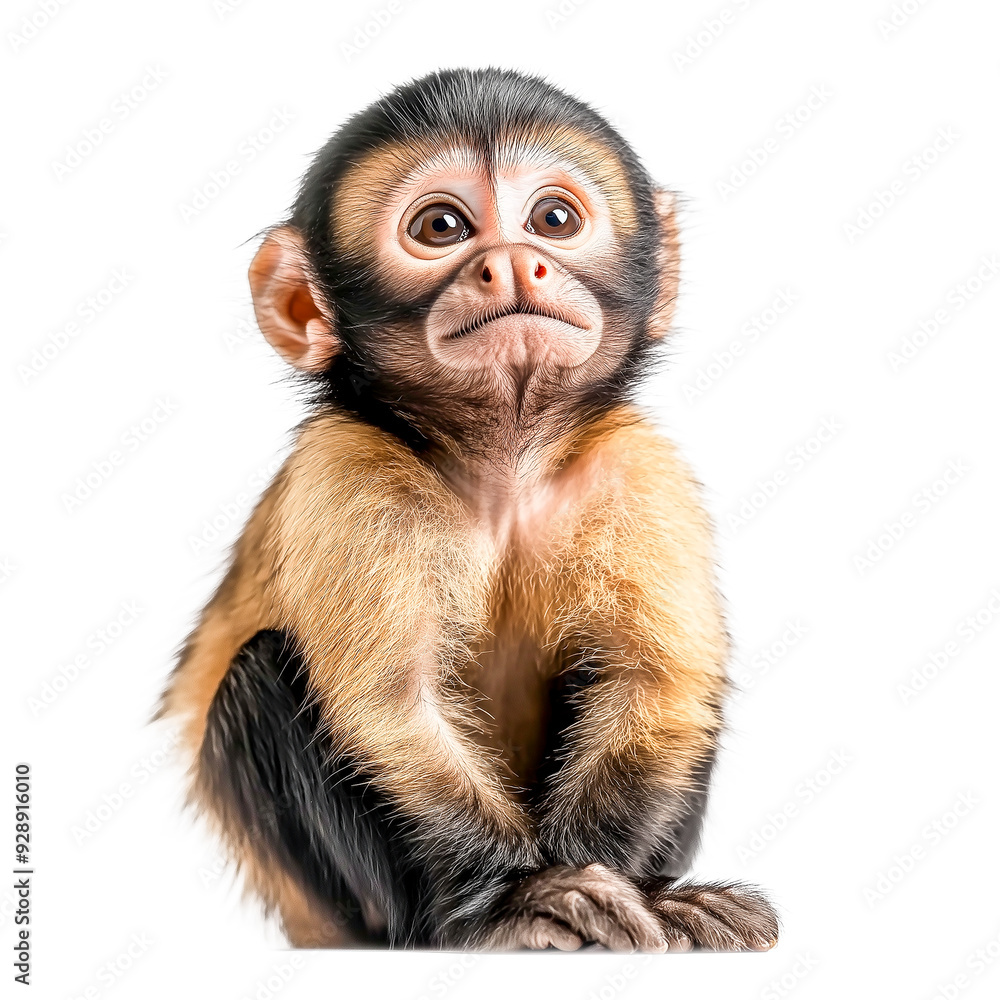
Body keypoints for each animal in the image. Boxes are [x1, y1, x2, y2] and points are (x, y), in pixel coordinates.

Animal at [159, 67, 779, 953]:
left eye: (553, 219)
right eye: (441, 227)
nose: (514, 264)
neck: (499, 475)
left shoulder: (634, 466)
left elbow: (650, 680)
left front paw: (640, 893)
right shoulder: (345, 472)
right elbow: (394, 706)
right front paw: (519, 900)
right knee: (257, 674)